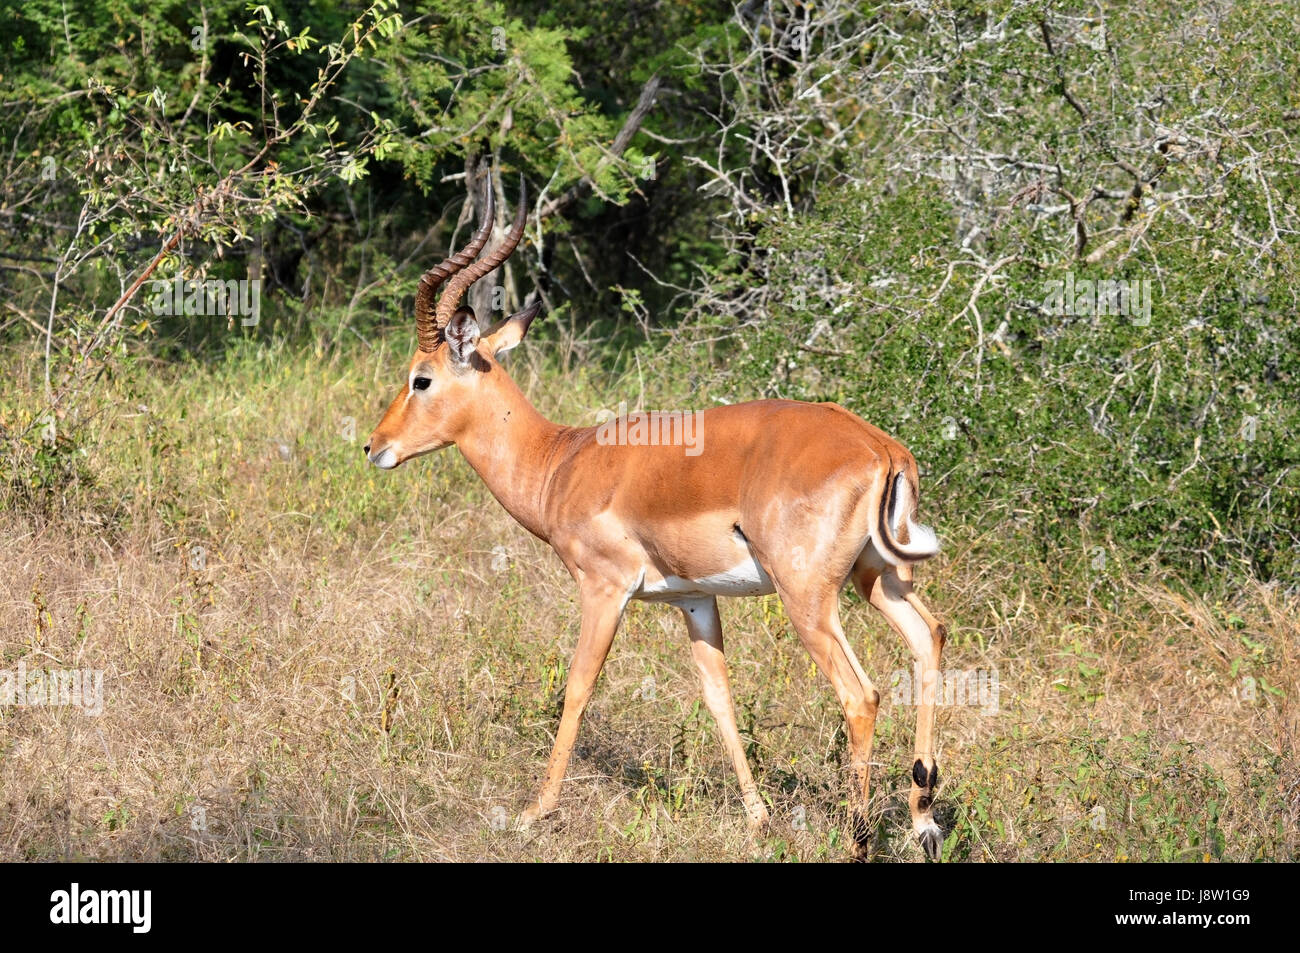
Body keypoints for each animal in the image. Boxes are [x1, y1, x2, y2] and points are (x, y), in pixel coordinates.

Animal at [365, 178, 948, 860]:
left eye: (421, 378)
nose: (376, 447)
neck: (560, 460)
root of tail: (882, 448)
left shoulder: (605, 587)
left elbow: (578, 687)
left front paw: (535, 812)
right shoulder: (694, 600)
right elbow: (719, 696)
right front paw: (758, 817)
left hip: (808, 596)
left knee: (861, 694)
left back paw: (858, 837)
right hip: (877, 579)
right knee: (929, 639)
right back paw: (923, 819)